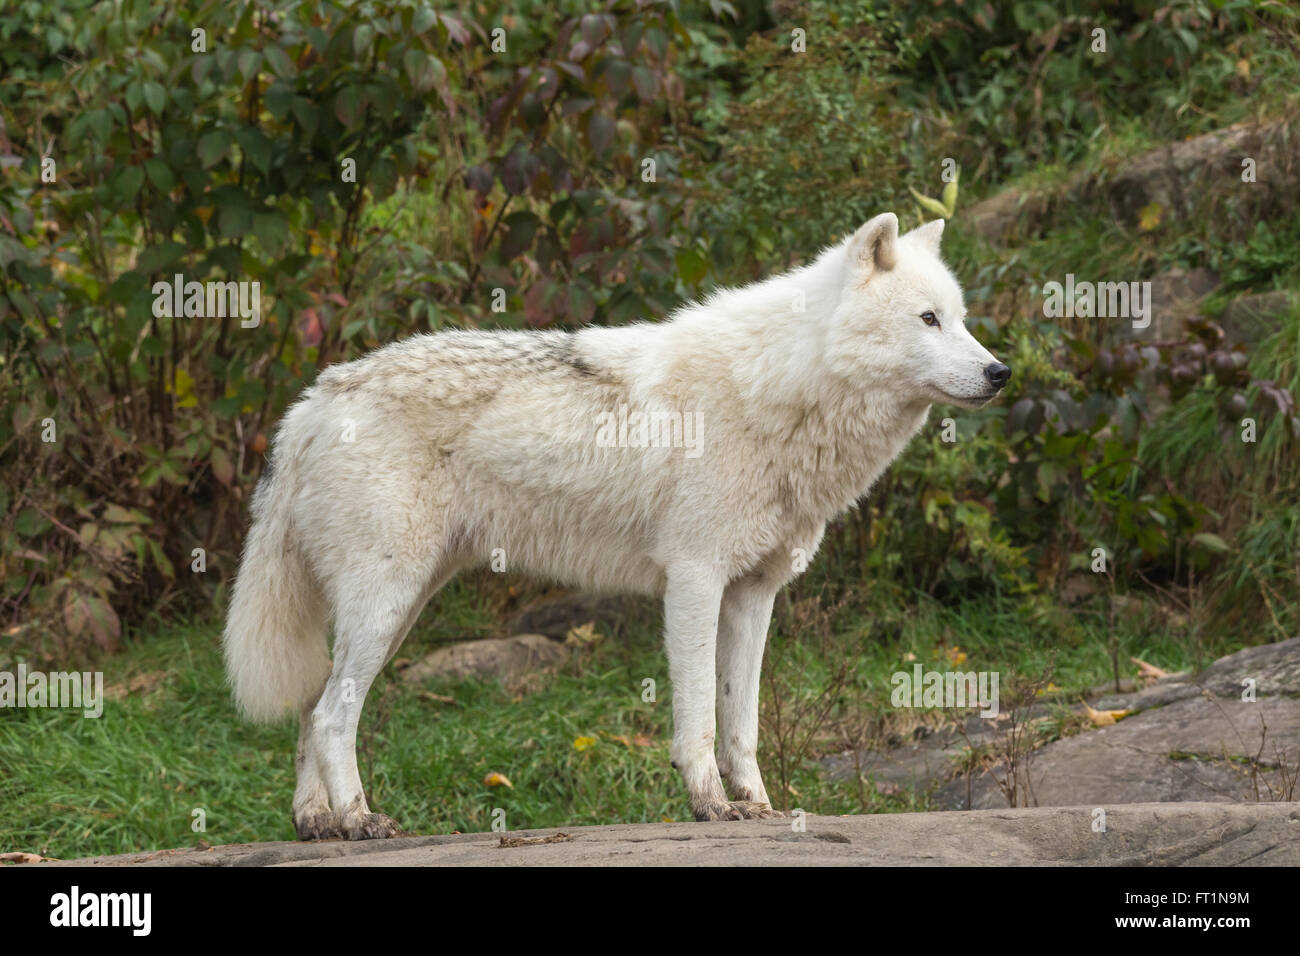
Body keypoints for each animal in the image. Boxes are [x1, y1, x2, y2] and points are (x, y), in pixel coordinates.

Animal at [223, 213, 1011, 839]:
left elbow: (743, 723)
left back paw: (316, 822)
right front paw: (709, 806)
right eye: (928, 320)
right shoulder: (694, 580)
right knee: (331, 714)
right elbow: (699, 717)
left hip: (398, 608)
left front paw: (757, 807)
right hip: (387, 601)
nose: (1000, 372)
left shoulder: (755, 593)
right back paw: (360, 819)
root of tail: (313, 401)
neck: (780, 389)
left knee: (311, 709)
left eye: (962, 318)